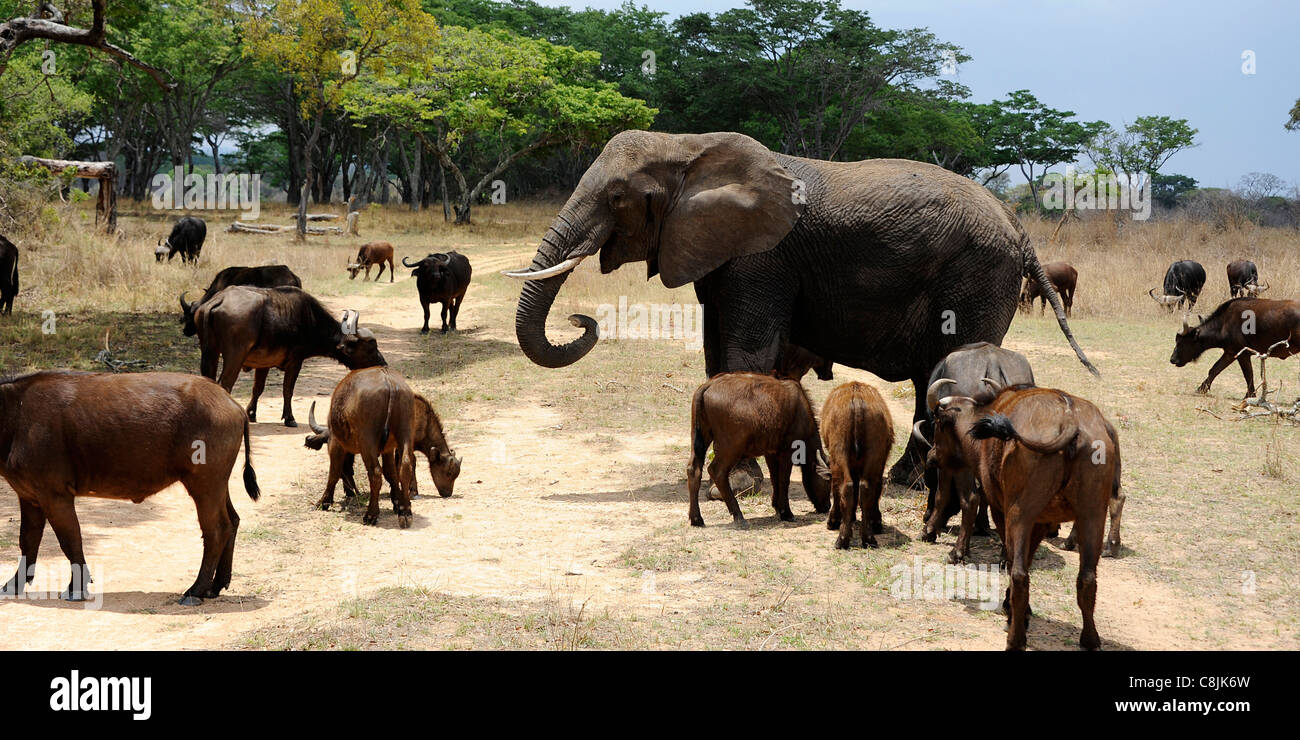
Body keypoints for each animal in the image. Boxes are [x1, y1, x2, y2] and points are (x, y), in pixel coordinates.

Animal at [506, 131, 1096, 485]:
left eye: (617, 198)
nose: (581, 320)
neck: (688, 145)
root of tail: (1018, 226)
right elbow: (716, 350)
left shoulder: (764, 257)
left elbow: (745, 350)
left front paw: (738, 480)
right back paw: (905, 481)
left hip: (978, 275)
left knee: (948, 368)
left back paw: (909, 482)